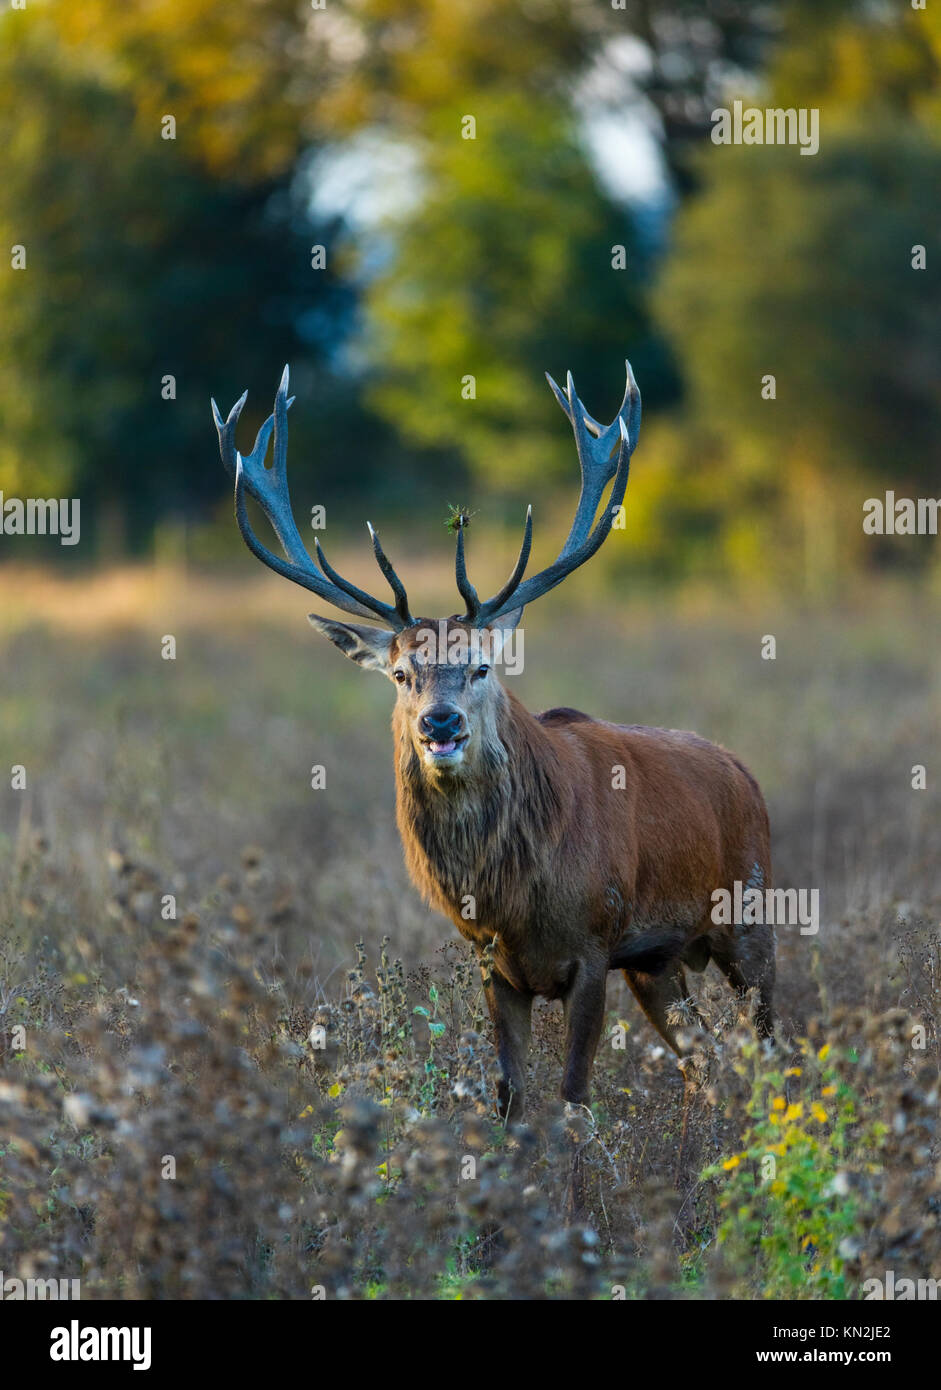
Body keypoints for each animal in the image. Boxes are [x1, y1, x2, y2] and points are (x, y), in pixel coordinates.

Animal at [212, 362, 775, 1122]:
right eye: (401, 674)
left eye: (480, 666)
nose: (440, 724)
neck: (511, 893)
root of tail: (742, 770)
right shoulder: (493, 963)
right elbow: (509, 1096)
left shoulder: (595, 943)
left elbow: (572, 1097)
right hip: (657, 964)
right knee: (705, 1059)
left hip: (751, 914)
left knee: (773, 1043)